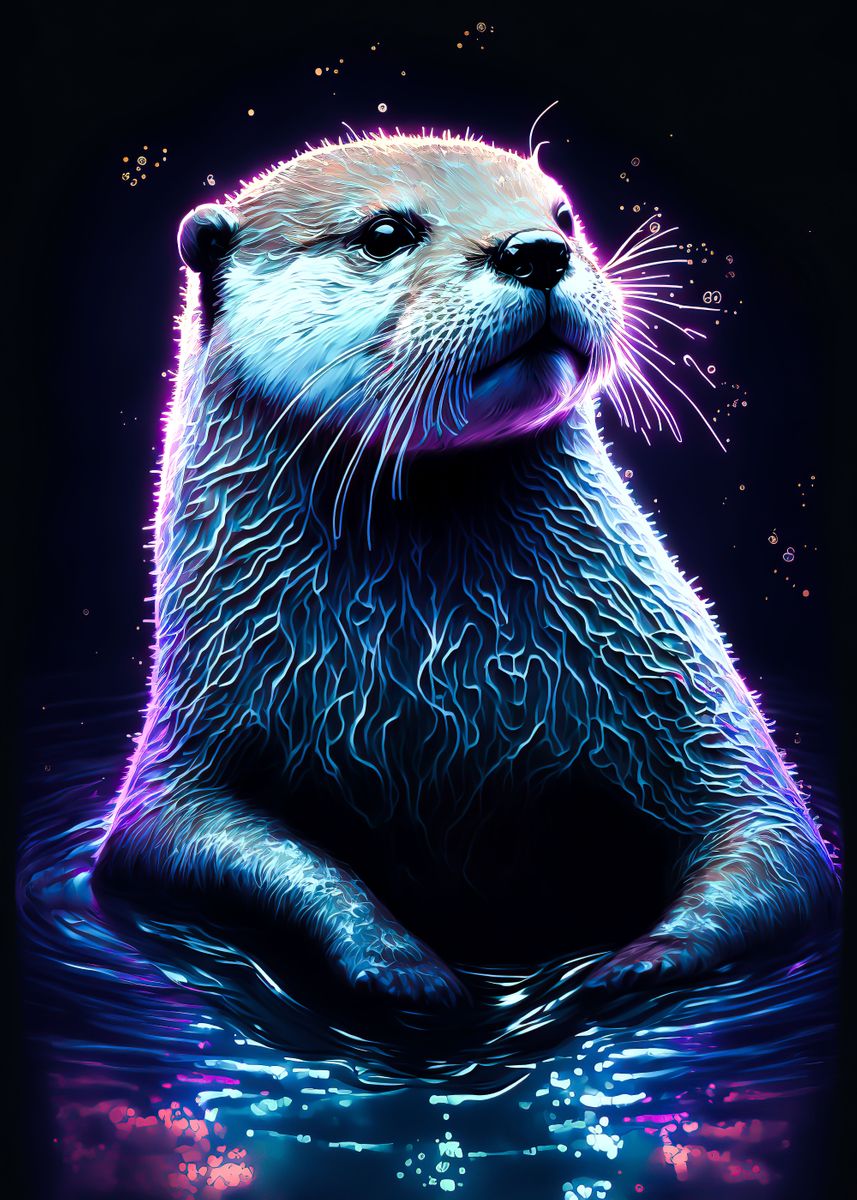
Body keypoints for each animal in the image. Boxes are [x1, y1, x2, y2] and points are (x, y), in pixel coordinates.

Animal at [94, 133, 836, 1008]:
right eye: (385, 232)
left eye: (562, 215)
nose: (537, 250)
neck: (443, 688)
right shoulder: (184, 760)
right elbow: (222, 850)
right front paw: (396, 964)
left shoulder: (683, 695)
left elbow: (770, 834)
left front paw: (631, 965)